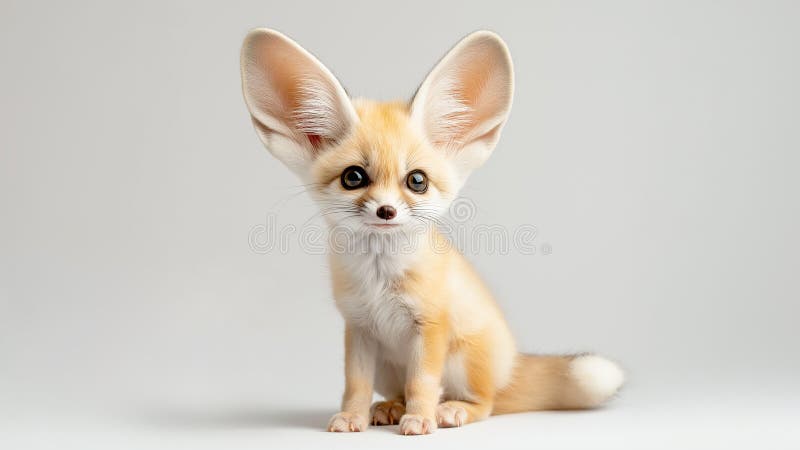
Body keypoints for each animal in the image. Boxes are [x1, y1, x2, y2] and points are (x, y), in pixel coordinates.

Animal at [240, 29, 624, 435]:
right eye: (353, 177)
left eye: (417, 181)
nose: (387, 211)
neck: (380, 280)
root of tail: (512, 367)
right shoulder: (358, 328)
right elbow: (355, 385)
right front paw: (352, 417)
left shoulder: (431, 326)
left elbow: (422, 383)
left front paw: (420, 419)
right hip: (387, 368)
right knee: (403, 391)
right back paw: (390, 407)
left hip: (463, 363)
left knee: (484, 404)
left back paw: (451, 411)